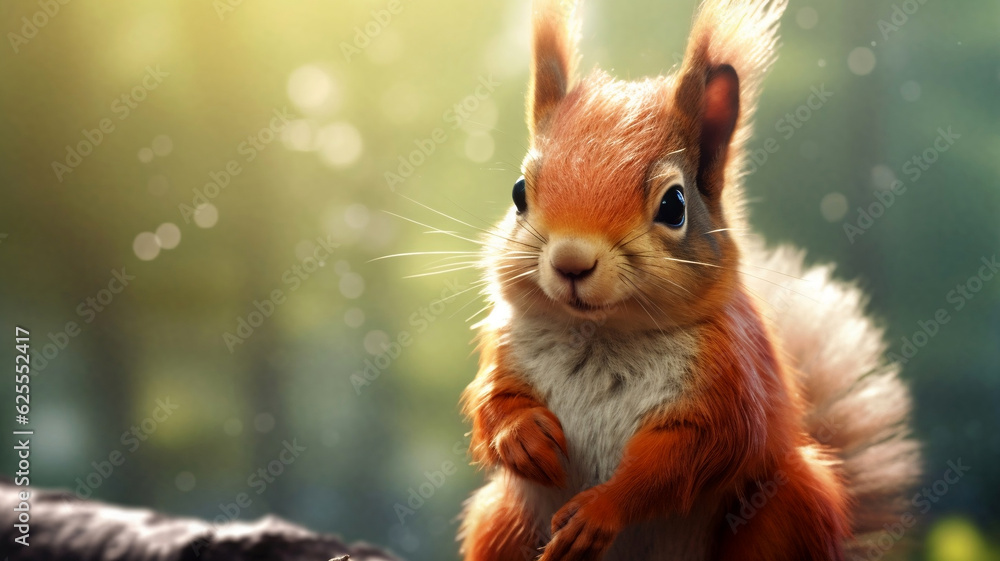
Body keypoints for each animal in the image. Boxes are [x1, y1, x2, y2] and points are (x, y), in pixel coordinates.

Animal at [457, 0, 920, 560]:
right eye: (519, 192)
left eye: (674, 205)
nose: (571, 261)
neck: (602, 335)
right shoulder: (504, 349)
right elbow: (492, 400)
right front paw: (520, 437)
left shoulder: (726, 381)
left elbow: (687, 456)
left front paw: (599, 511)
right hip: (501, 520)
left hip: (789, 504)